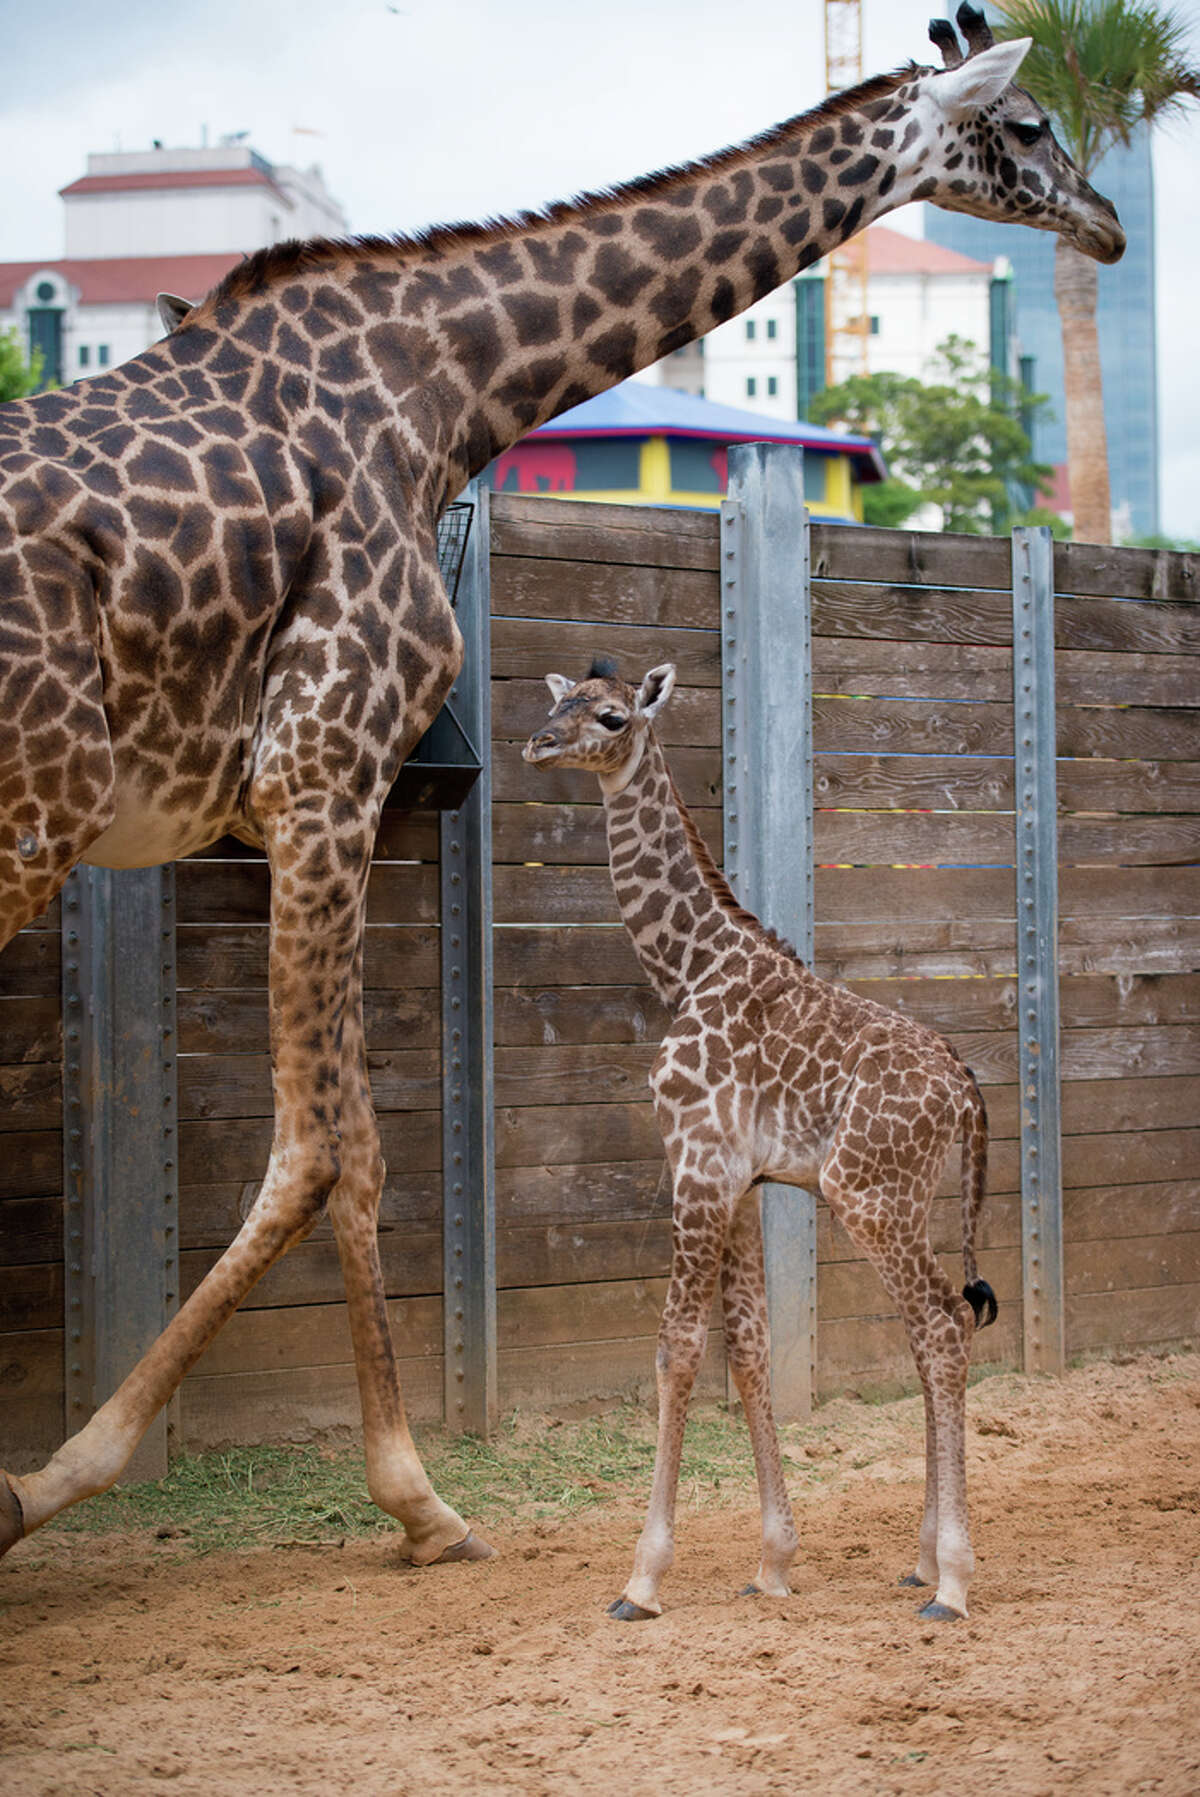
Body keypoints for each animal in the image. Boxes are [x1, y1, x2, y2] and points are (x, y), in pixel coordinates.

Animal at [524, 660, 997, 1621]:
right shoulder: (740, 1181)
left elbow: (675, 1350)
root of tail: (964, 1091)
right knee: (941, 1323)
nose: (537, 744)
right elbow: (746, 1349)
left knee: (939, 1326)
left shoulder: (697, 1164)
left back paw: (953, 1580)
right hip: (905, 1196)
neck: (686, 967)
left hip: (866, 1193)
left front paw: (642, 1578)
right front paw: (774, 1561)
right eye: (554, 702)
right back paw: (923, 1558)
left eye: (611, 716)